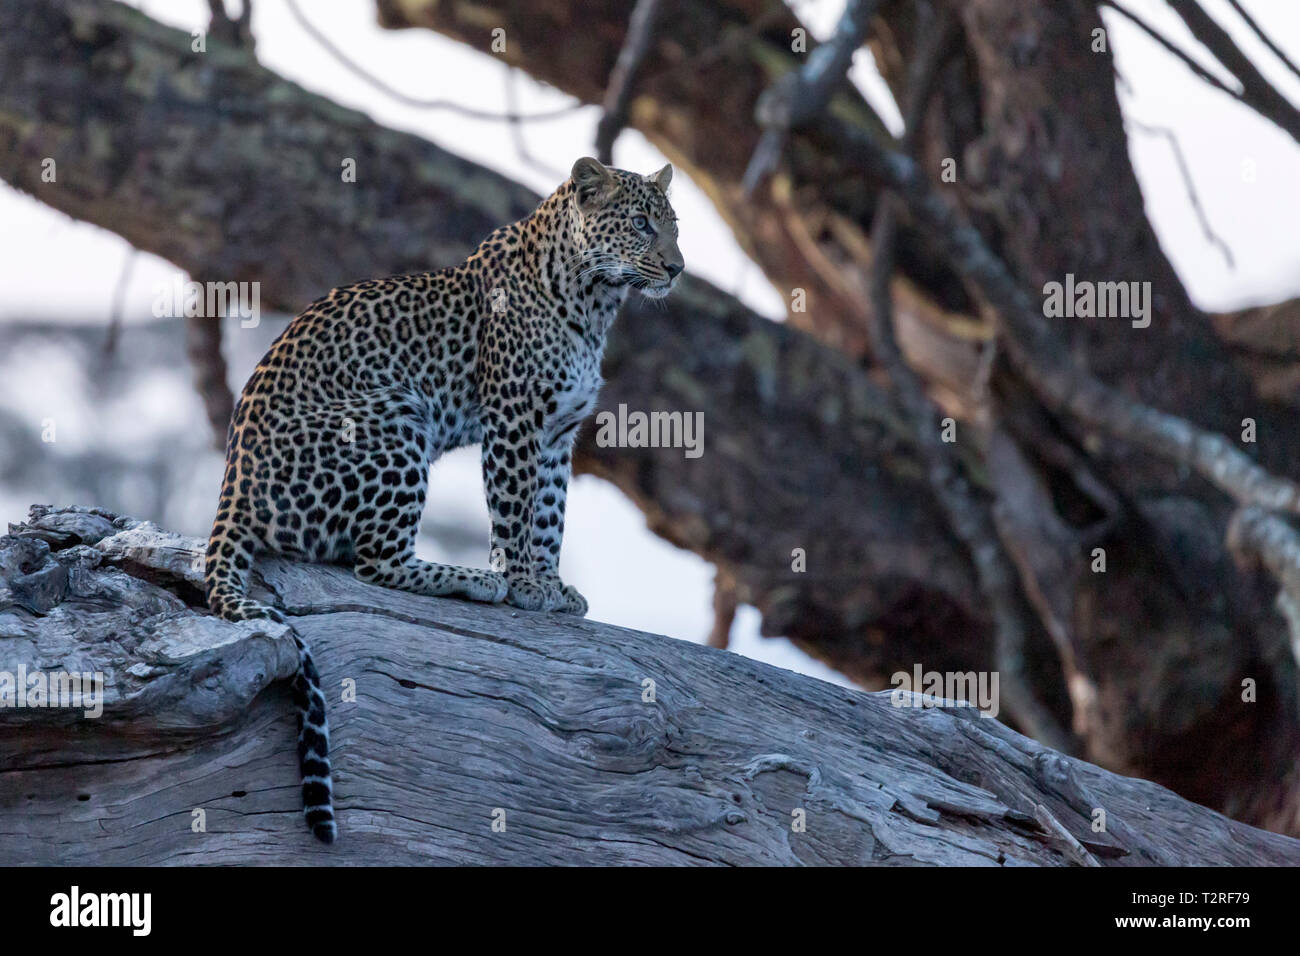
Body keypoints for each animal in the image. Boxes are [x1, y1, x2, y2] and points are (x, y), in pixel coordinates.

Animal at [204, 157, 683, 842]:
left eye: (675, 227)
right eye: (642, 224)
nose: (677, 267)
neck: (595, 300)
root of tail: (231, 488)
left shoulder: (558, 434)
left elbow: (550, 516)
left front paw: (552, 586)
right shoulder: (514, 420)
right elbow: (514, 510)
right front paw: (523, 586)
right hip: (395, 415)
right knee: (375, 562)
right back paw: (469, 579)